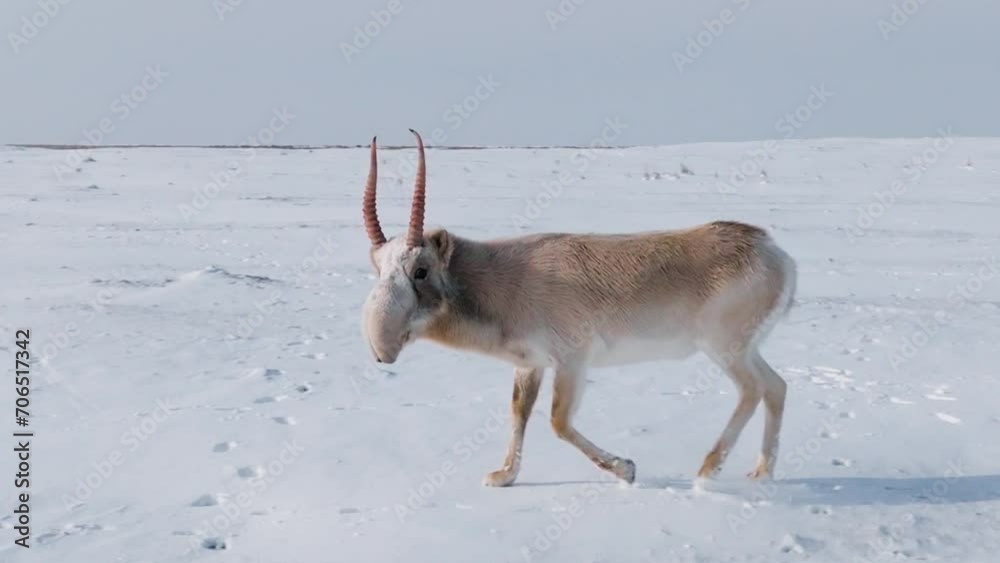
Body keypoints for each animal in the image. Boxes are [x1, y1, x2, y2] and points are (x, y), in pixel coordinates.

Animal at [361, 130, 797, 487]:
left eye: (420, 269)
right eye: (378, 267)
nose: (381, 349)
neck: (498, 276)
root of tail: (774, 253)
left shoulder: (572, 360)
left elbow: (557, 420)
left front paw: (626, 469)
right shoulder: (530, 364)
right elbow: (519, 412)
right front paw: (504, 476)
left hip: (724, 348)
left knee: (753, 390)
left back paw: (708, 470)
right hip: (745, 349)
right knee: (776, 386)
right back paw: (761, 472)